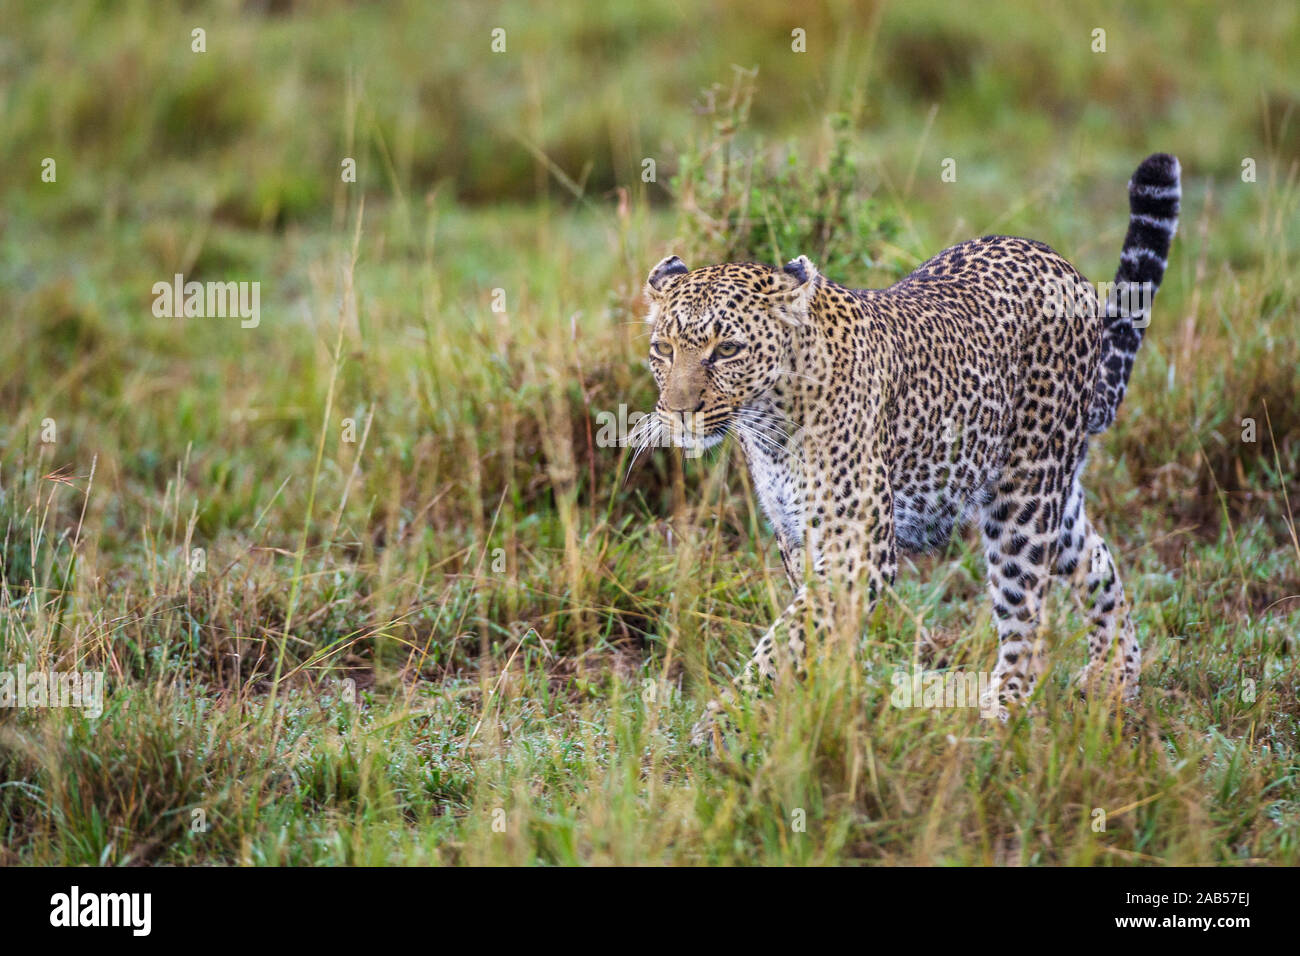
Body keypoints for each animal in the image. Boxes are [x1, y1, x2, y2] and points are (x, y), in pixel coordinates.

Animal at [637, 154, 1181, 747]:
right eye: (663, 348)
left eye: (728, 349)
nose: (678, 411)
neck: (769, 423)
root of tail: (1062, 264)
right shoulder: (798, 539)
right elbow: (815, 633)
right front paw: (824, 705)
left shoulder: (858, 550)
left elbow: (784, 642)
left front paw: (724, 720)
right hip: (1046, 491)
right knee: (1096, 558)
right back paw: (1116, 677)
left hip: (1025, 498)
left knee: (1027, 619)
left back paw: (1003, 715)